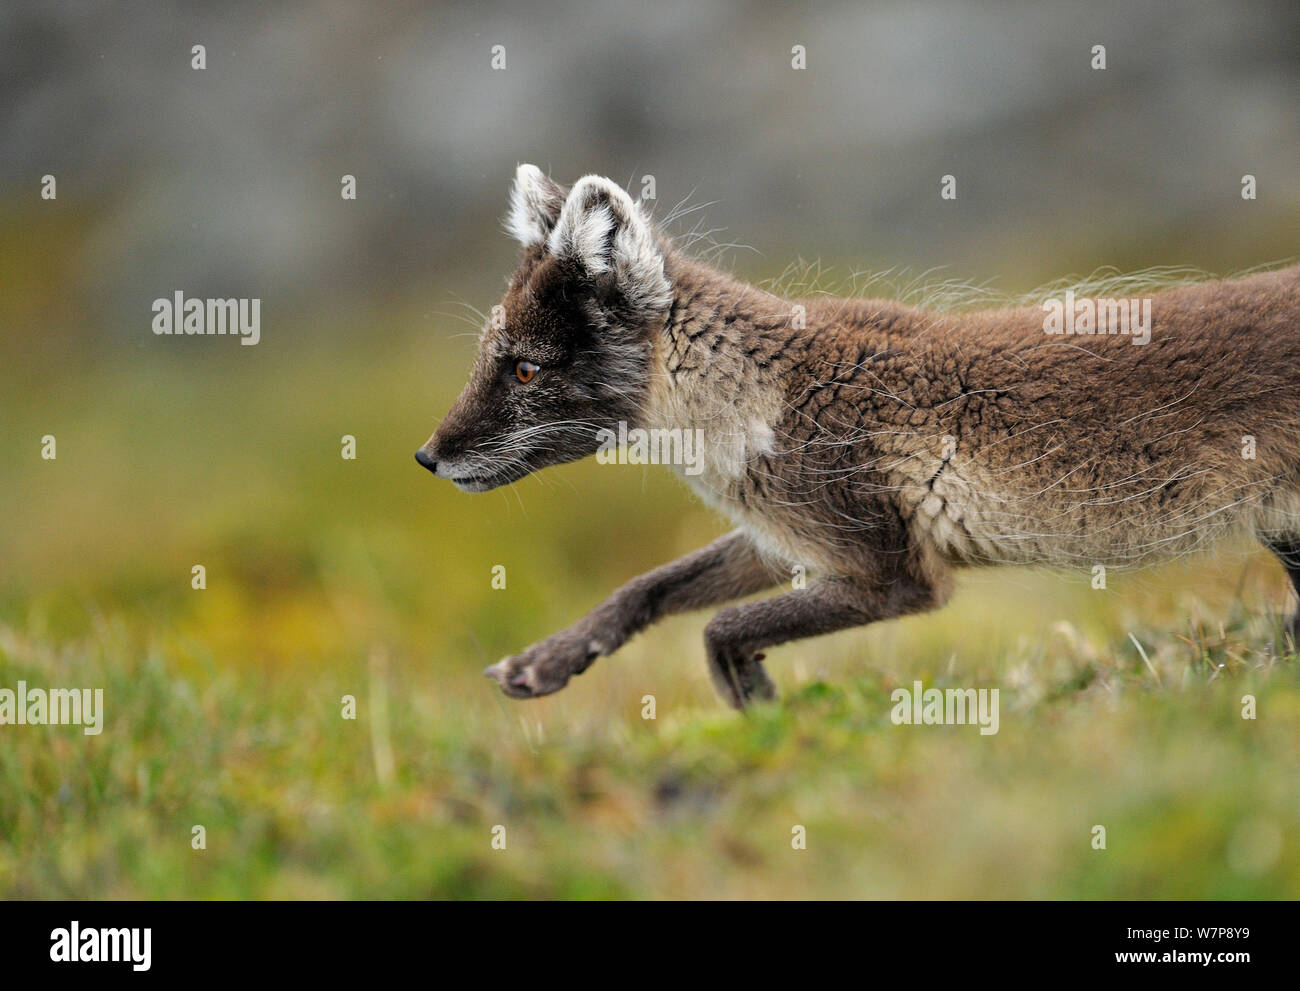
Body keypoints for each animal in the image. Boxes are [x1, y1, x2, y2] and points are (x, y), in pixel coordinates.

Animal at [416, 164, 1300, 709]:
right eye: (488, 356)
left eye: (525, 369)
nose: (427, 456)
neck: (756, 401)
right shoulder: (787, 538)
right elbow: (647, 587)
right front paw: (545, 664)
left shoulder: (896, 573)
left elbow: (719, 626)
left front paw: (759, 704)